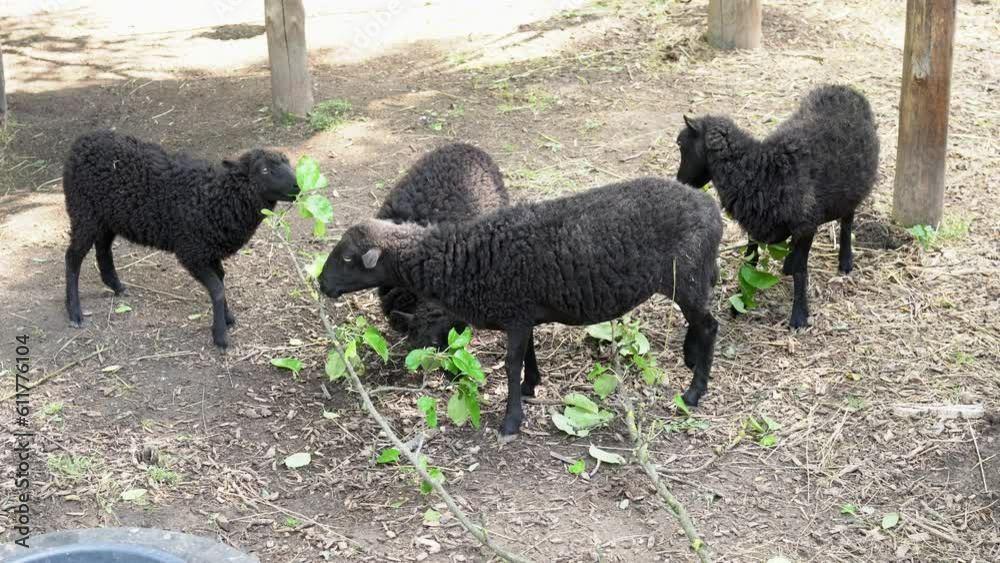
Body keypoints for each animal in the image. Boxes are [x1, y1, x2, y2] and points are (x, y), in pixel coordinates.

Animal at [62, 129, 300, 349]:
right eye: (264, 170)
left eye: (288, 163)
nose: (297, 187)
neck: (216, 197)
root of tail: (81, 141)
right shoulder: (191, 251)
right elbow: (217, 289)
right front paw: (220, 337)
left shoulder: (209, 250)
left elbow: (221, 280)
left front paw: (227, 318)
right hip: (83, 210)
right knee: (73, 257)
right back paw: (74, 313)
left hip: (106, 217)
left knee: (102, 247)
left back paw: (116, 286)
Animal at [319, 177, 723, 437]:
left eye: (348, 258)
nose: (322, 284)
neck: (461, 259)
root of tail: (711, 209)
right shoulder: (523, 314)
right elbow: (527, 354)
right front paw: (532, 386)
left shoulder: (514, 313)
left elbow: (511, 365)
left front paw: (511, 421)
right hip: (691, 279)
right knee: (699, 322)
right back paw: (690, 359)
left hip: (685, 277)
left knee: (709, 325)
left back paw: (694, 392)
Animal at [675, 84, 879, 328]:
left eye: (680, 143)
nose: (679, 181)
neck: (761, 168)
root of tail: (846, 89)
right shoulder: (756, 225)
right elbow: (750, 262)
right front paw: (740, 302)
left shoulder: (805, 227)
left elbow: (801, 270)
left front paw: (799, 316)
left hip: (854, 188)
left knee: (848, 220)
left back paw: (845, 261)